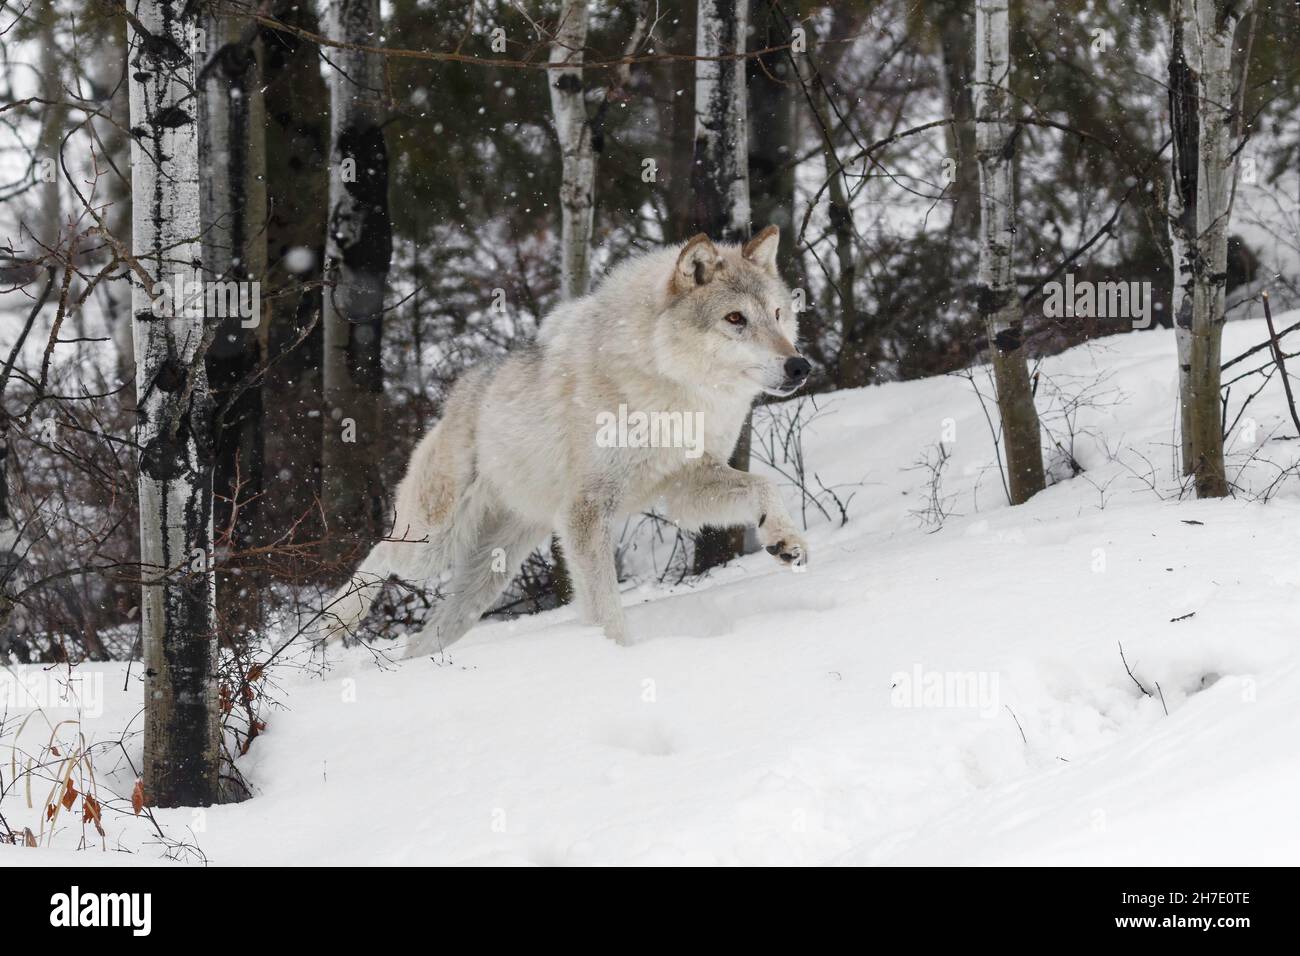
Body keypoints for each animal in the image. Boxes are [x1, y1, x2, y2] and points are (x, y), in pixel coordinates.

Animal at [321, 226, 812, 656]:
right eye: (735, 319)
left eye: (776, 314)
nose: (799, 366)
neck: (673, 391)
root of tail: (457, 395)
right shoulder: (587, 513)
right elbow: (604, 608)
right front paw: (617, 657)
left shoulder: (684, 489)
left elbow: (764, 485)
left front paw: (785, 539)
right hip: (432, 544)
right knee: (380, 553)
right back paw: (328, 628)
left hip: (491, 573)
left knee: (428, 635)